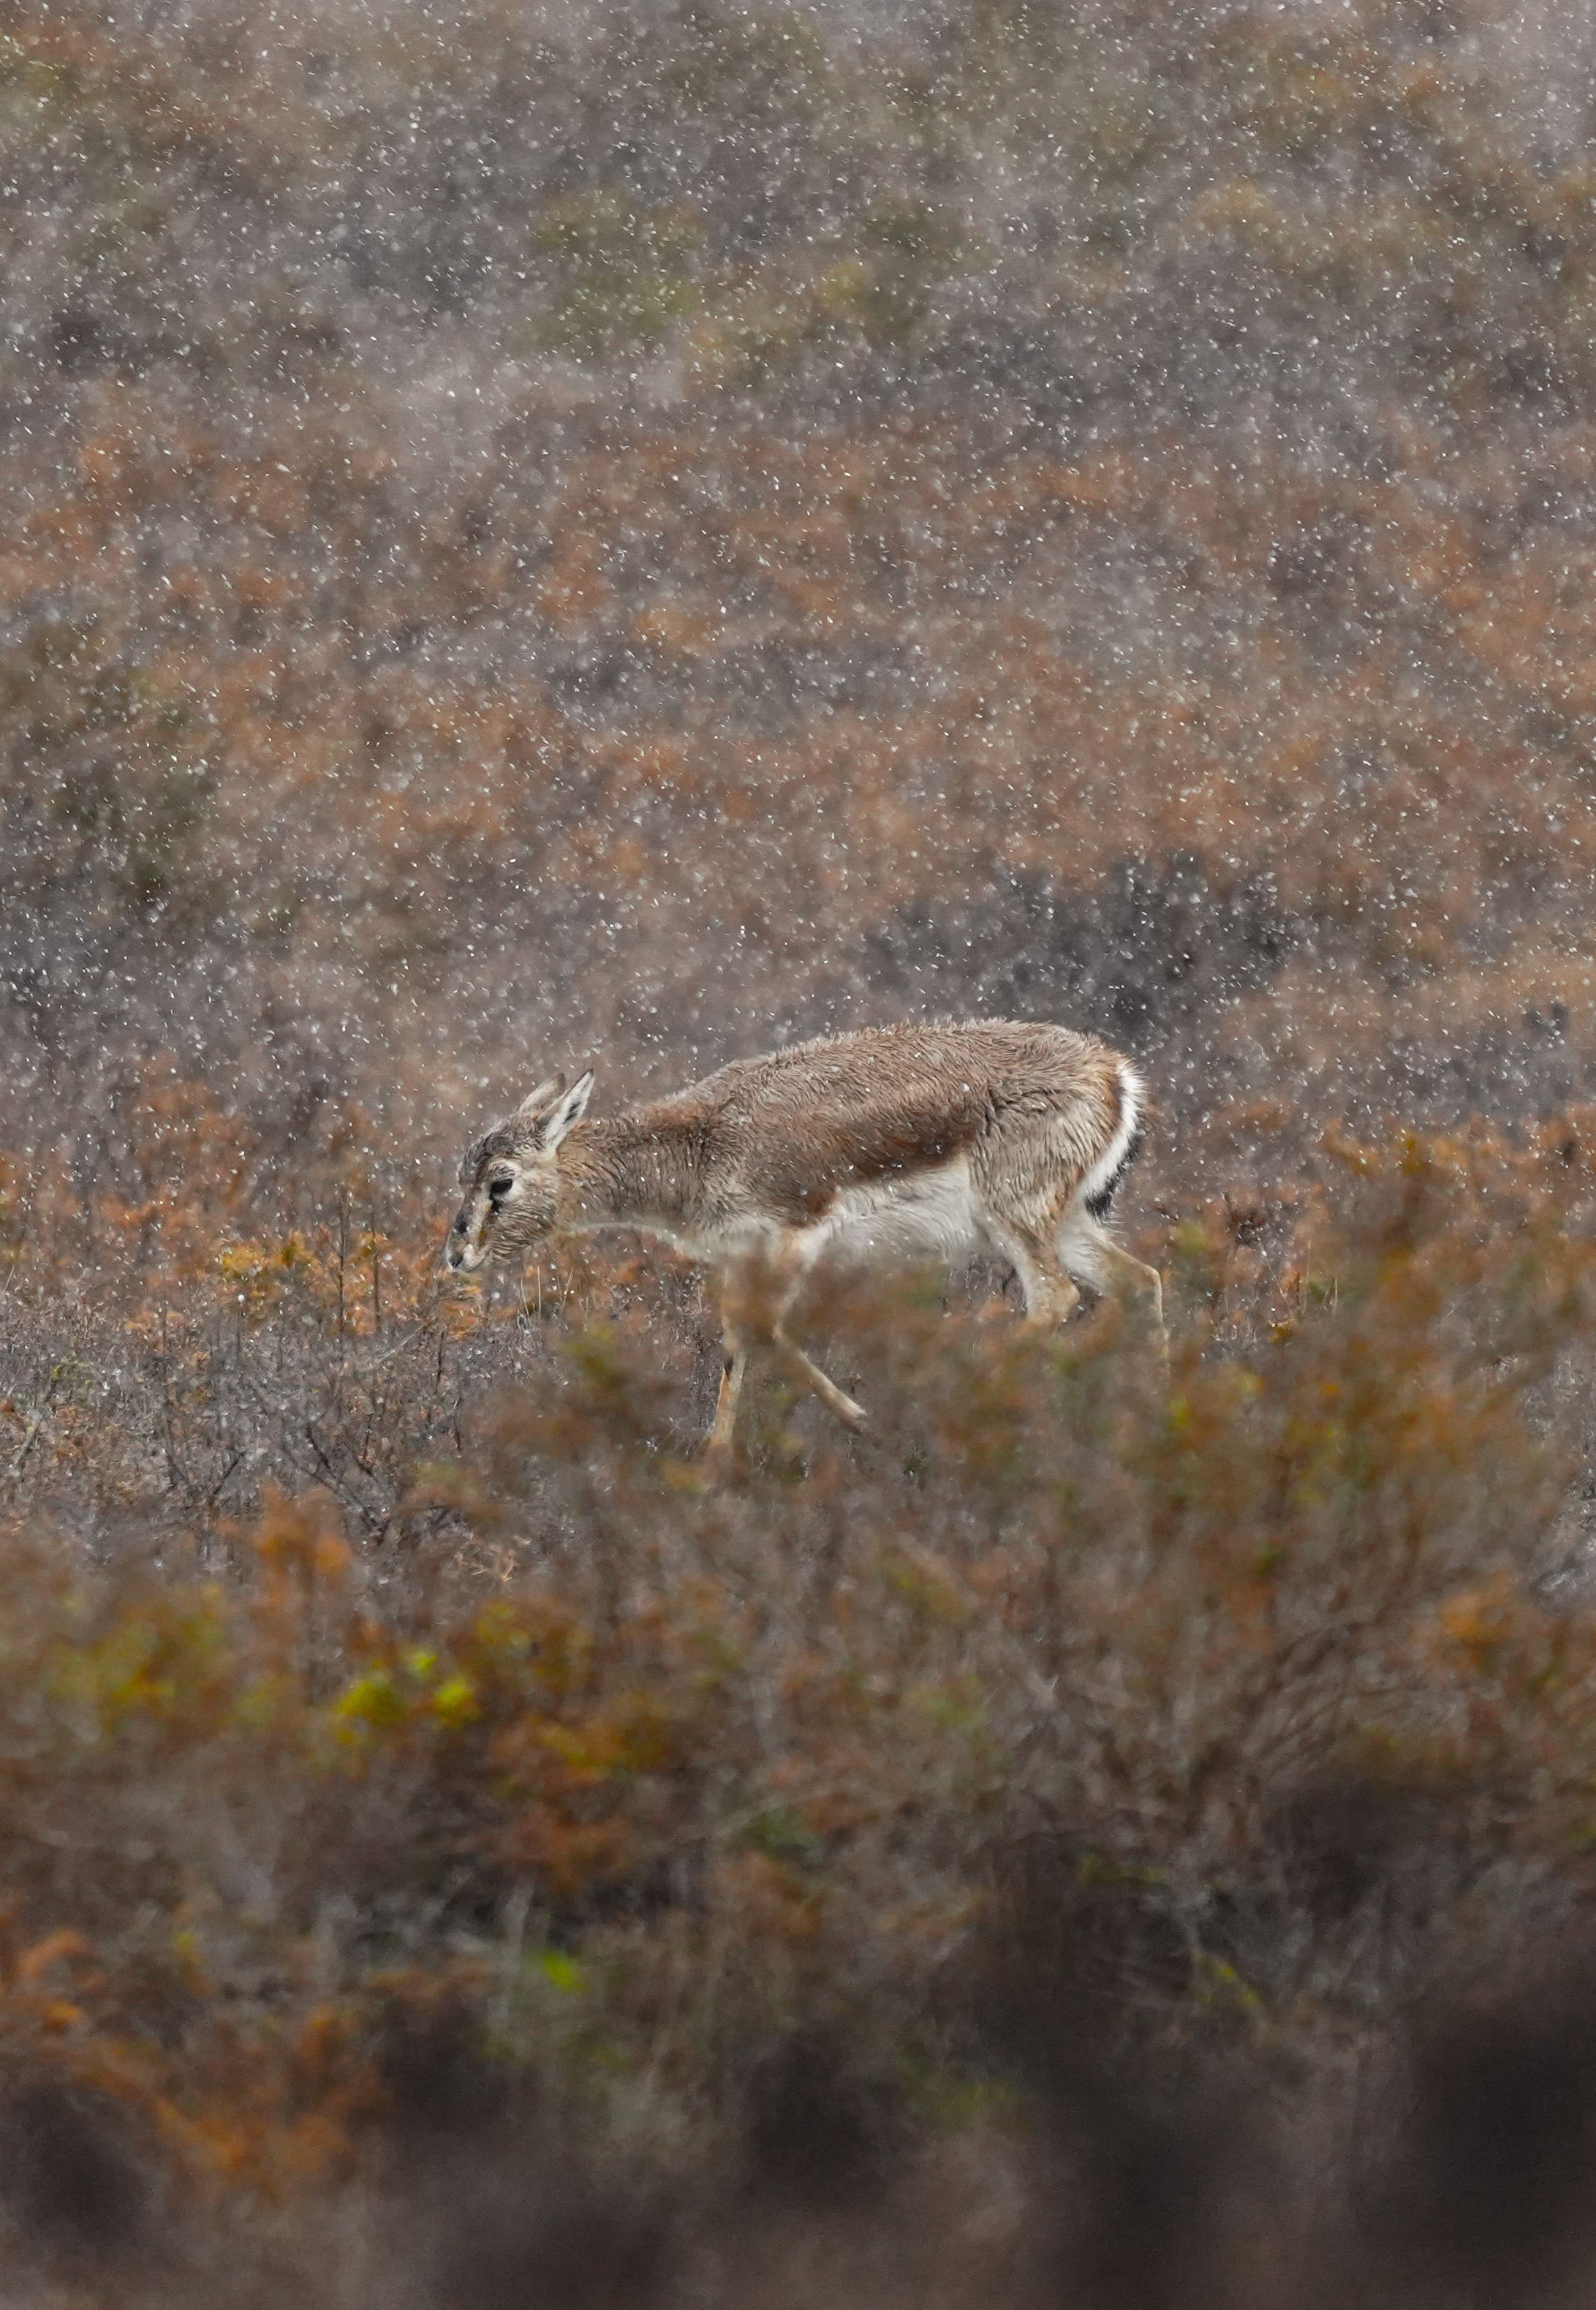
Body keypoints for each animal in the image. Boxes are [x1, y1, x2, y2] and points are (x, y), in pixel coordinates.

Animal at [444, 1019, 1165, 1471]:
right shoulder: (742, 1256)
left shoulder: (797, 1231)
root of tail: (1115, 1072)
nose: (457, 1255)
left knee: (1055, 1298)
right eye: (462, 1174)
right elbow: (737, 1342)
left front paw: (862, 1419)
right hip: (1065, 1221)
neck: (694, 1149)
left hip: (1016, 1218)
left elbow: (765, 1331)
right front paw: (713, 1464)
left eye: (500, 1181)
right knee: (1141, 1280)